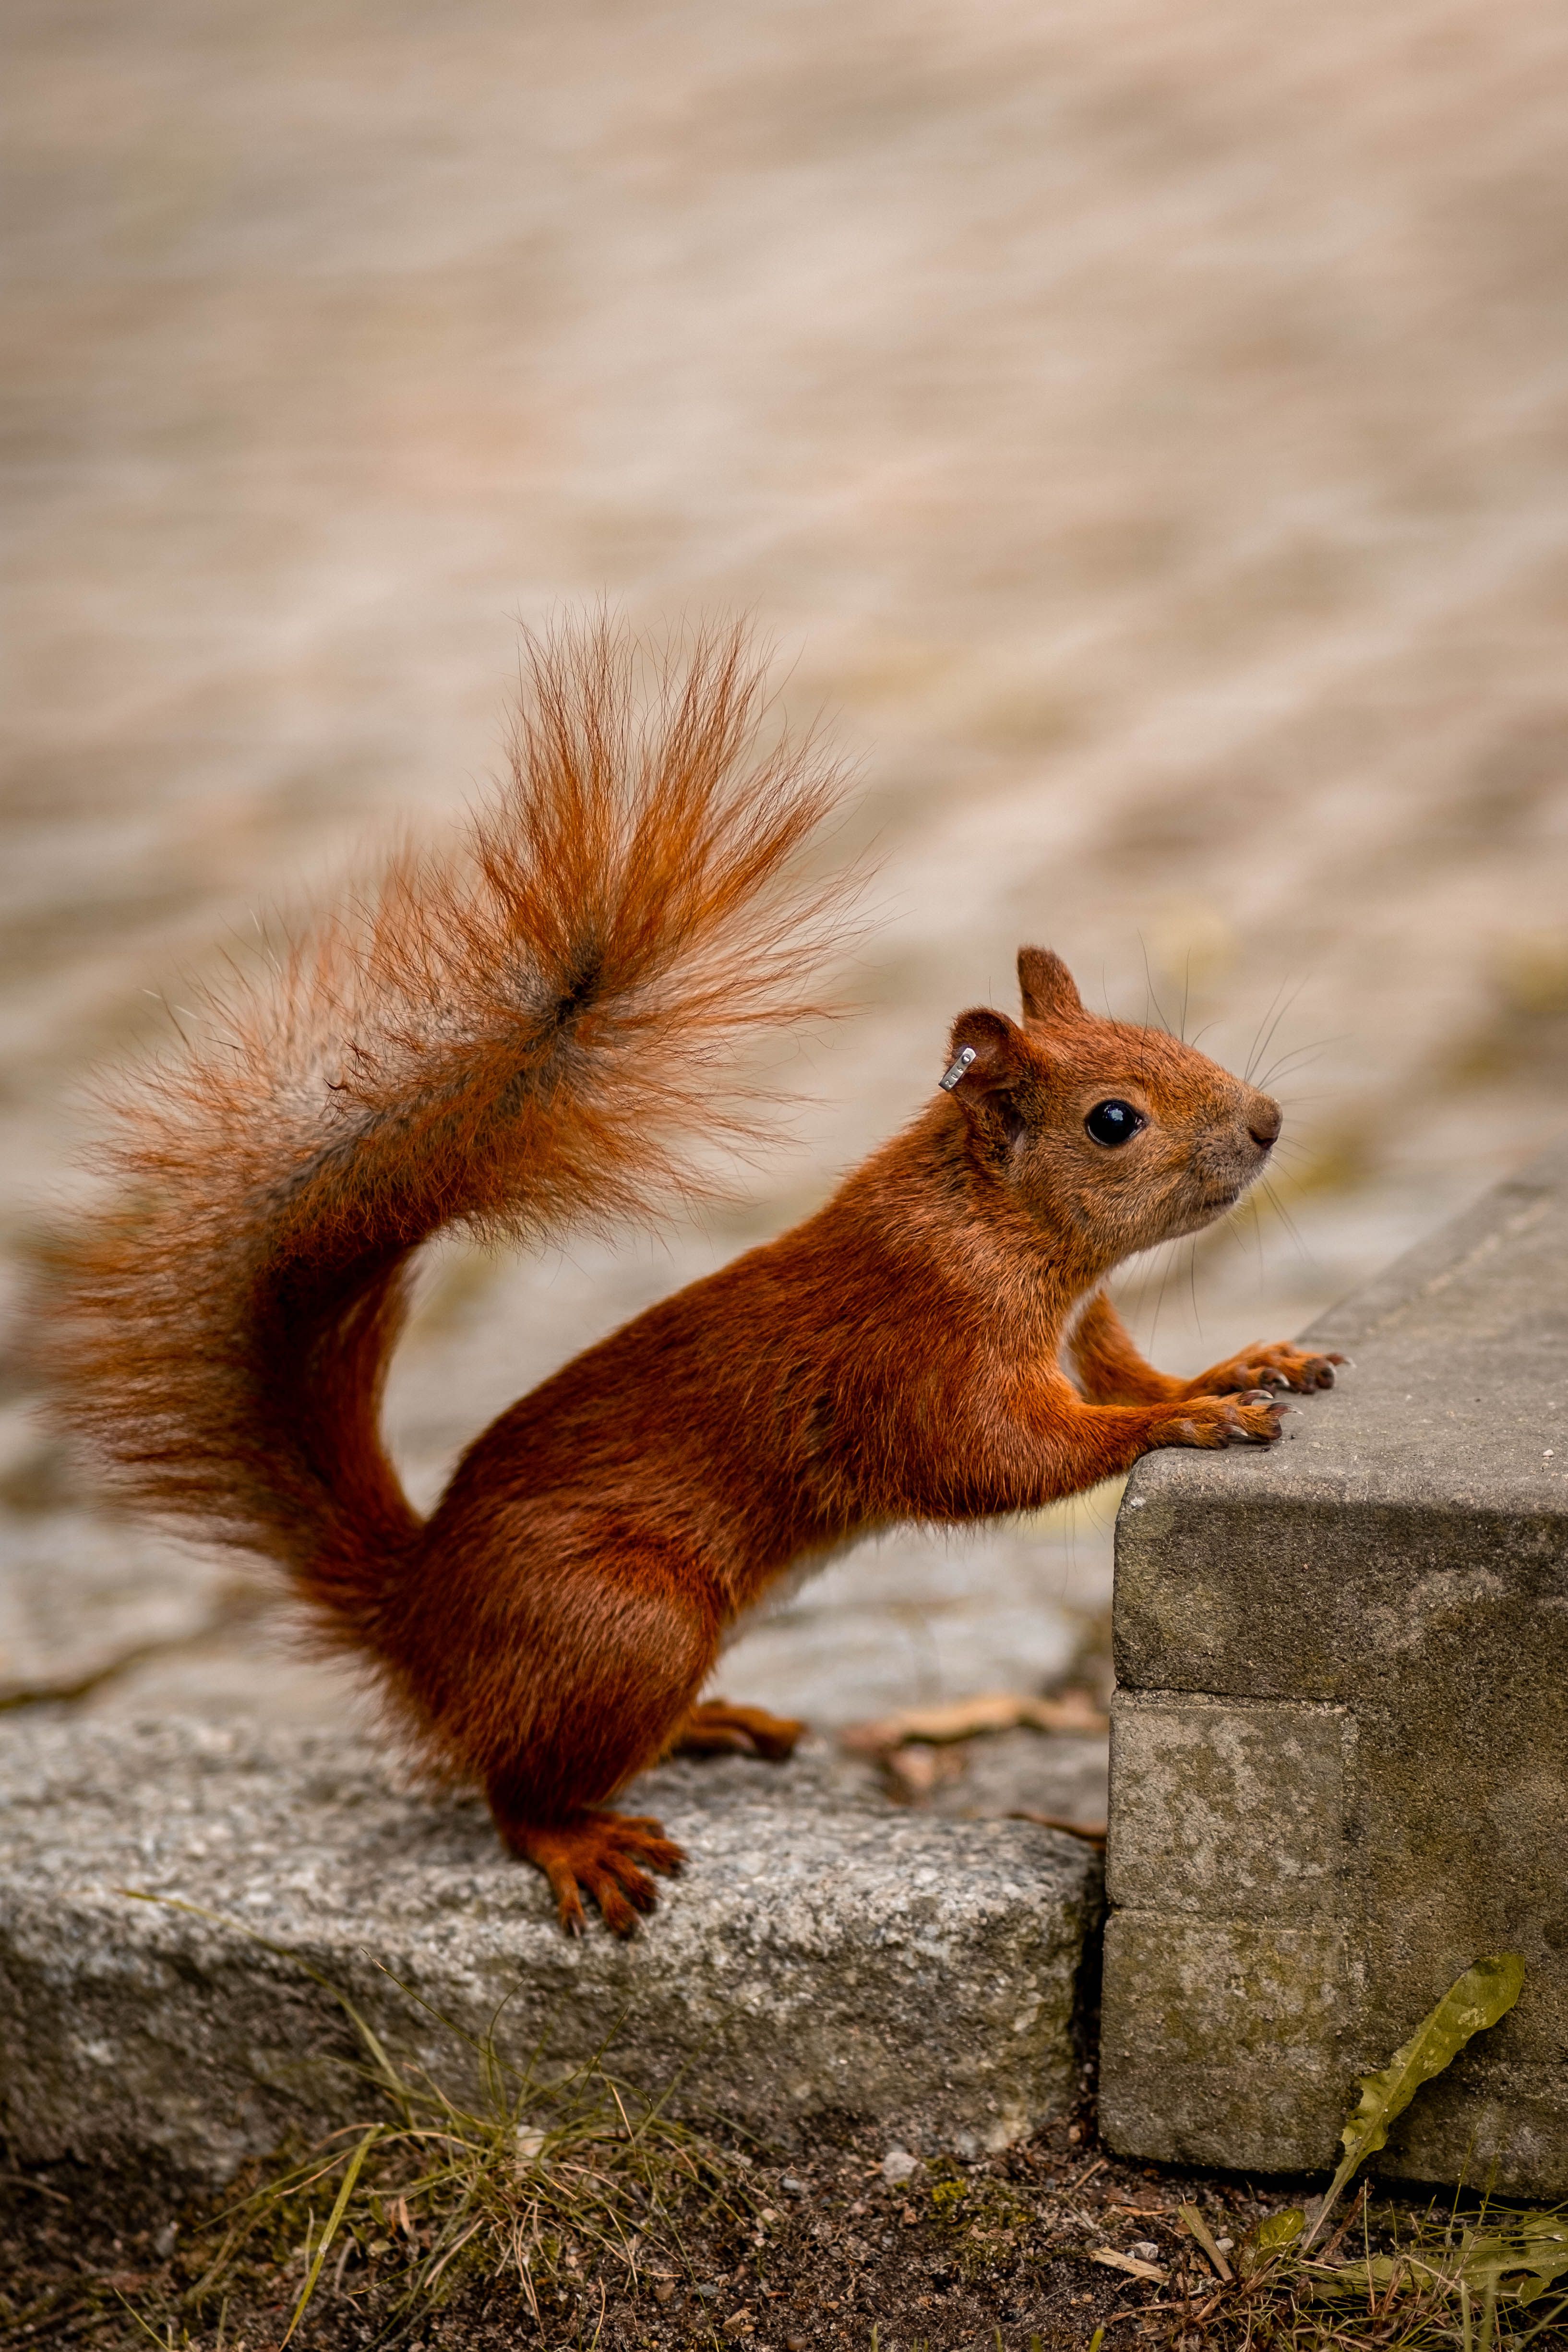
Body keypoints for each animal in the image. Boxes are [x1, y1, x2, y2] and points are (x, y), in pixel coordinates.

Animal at [42, 619, 1341, 1935]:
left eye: (1166, 1034)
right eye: (1113, 1120)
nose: (1268, 1121)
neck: (998, 1230)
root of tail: (420, 1622)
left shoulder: (1080, 1330)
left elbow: (1126, 1370)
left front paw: (1243, 1362)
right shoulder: (914, 1348)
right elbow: (994, 1460)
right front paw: (1187, 1421)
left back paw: (704, 1723)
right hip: (628, 1623)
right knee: (508, 1790)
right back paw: (581, 1839)